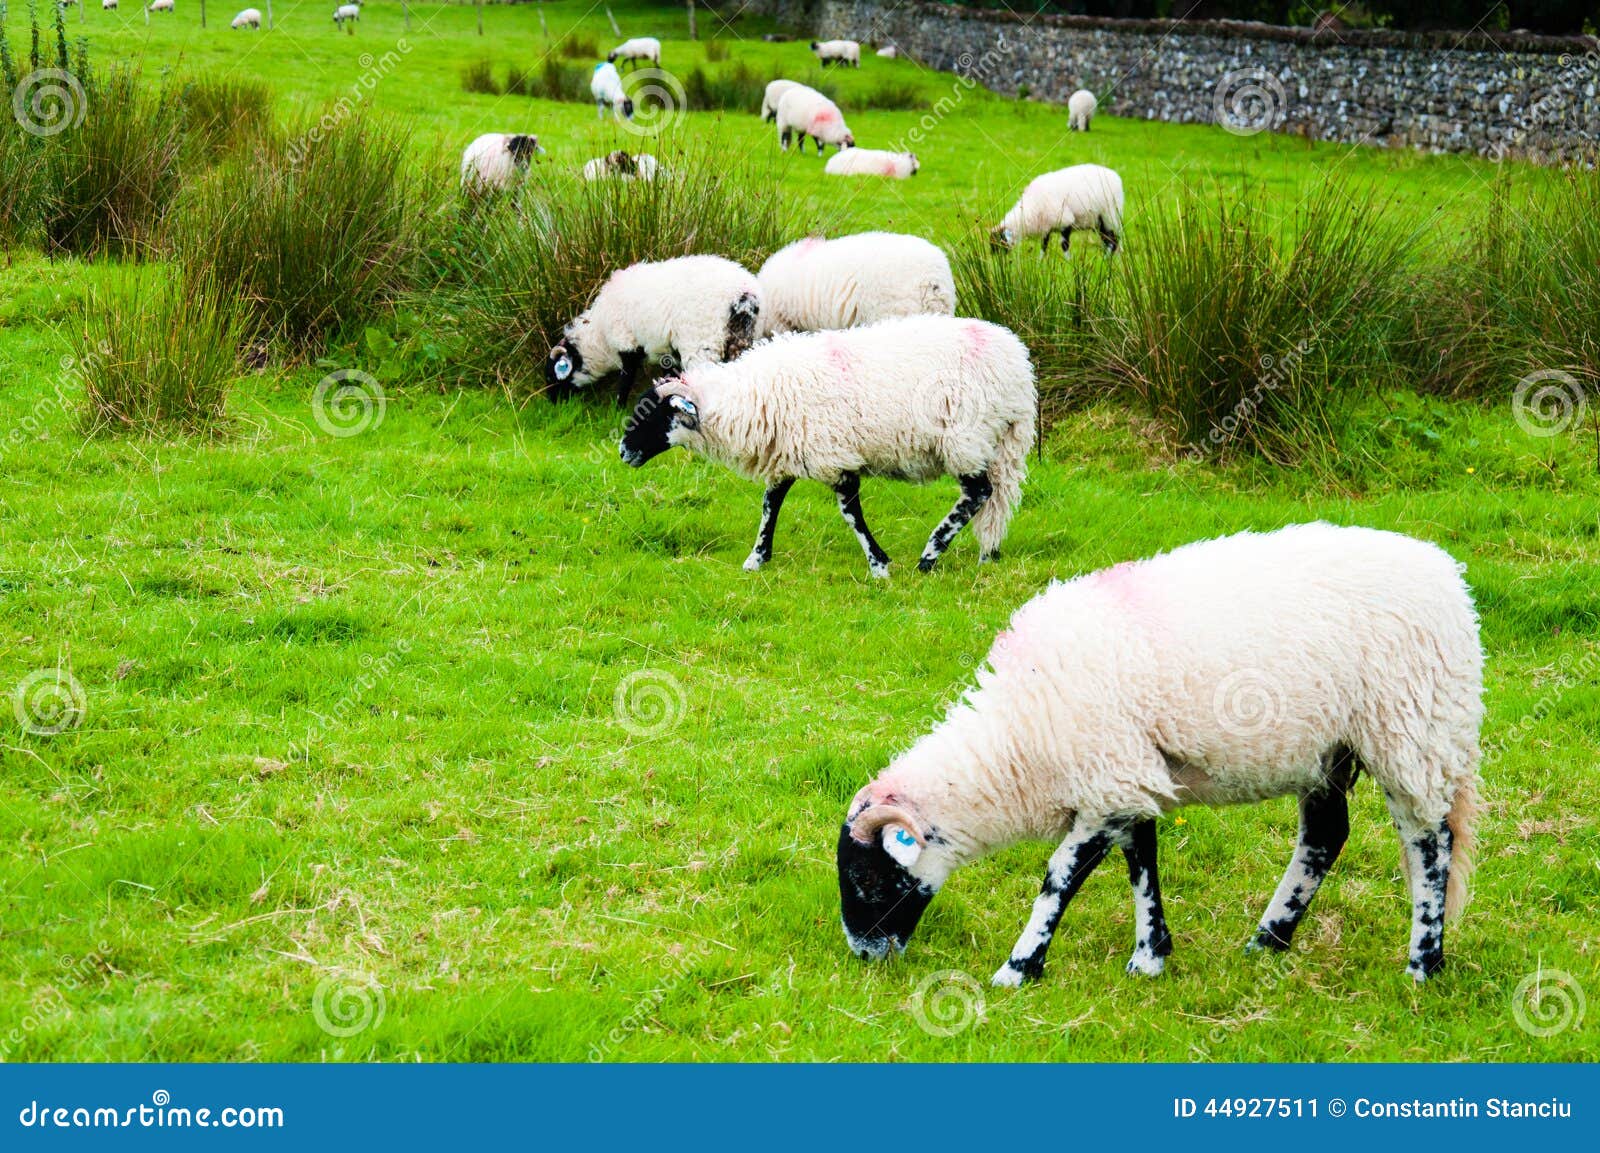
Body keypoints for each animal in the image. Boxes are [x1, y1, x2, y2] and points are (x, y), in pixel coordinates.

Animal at [547, 255, 761, 407]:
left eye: (552, 376)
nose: (553, 404)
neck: (599, 336)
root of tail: (742, 293)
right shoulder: (665, 350)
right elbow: (667, 374)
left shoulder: (626, 342)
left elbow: (626, 379)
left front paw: (618, 408)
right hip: (741, 338)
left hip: (702, 341)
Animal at [619, 315, 1035, 578]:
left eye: (653, 416)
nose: (623, 451)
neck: (749, 399)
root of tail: (1018, 368)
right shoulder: (788, 451)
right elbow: (771, 504)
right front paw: (756, 559)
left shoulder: (833, 454)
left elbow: (851, 514)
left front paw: (879, 565)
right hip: (993, 442)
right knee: (993, 499)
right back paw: (987, 555)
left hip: (965, 437)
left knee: (978, 493)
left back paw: (930, 555)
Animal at [837, 522, 1483, 985]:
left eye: (866, 878)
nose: (865, 956)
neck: (1019, 742)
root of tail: (1451, 579)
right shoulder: (1128, 777)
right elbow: (1141, 863)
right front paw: (1150, 958)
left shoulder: (1106, 776)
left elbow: (1060, 875)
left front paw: (1018, 969)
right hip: (1330, 747)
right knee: (1326, 834)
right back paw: (1267, 940)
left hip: (1411, 730)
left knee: (1430, 844)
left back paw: (1423, 964)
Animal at [992, 163, 1123, 256]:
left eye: (999, 242)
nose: (996, 262)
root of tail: (1115, 176)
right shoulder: (1046, 226)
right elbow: (1044, 246)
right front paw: (1040, 264)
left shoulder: (1065, 221)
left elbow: (1064, 245)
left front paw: (1069, 262)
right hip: (1099, 221)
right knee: (1108, 241)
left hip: (1110, 216)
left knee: (1113, 241)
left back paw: (1106, 260)